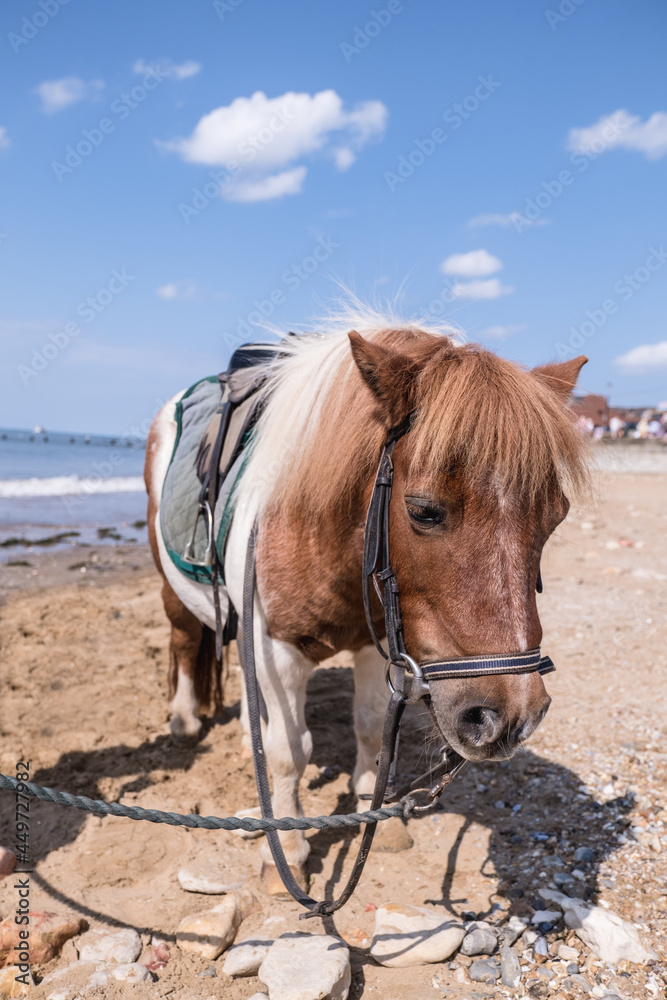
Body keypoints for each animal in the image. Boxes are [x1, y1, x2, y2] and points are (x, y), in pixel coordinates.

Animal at [144, 309, 589, 891]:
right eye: (423, 511)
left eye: (555, 517)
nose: (511, 717)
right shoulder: (278, 650)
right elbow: (289, 752)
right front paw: (286, 848)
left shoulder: (376, 647)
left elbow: (370, 731)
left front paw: (374, 816)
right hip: (176, 590)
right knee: (183, 639)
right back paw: (185, 721)